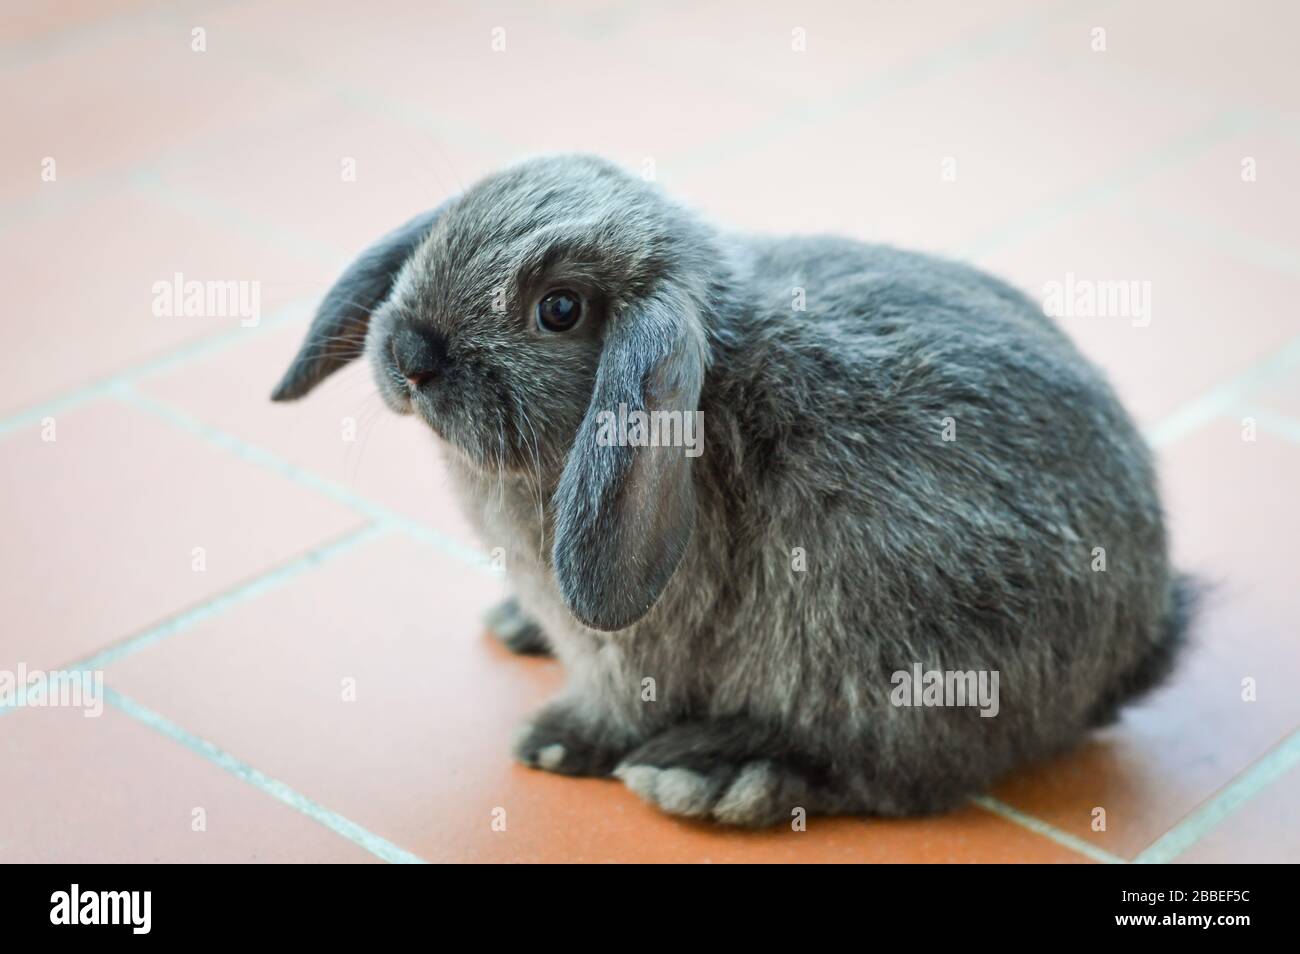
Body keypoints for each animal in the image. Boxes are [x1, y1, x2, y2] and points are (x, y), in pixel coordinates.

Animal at [272, 154, 1194, 826]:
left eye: (559, 309)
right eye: (443, 231)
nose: (410, 356)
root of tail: (1138, 641)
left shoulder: (633, 644)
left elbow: (622, 696)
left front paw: (557, 742)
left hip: (886, 655)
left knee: (892, 771)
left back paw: (722, 776)